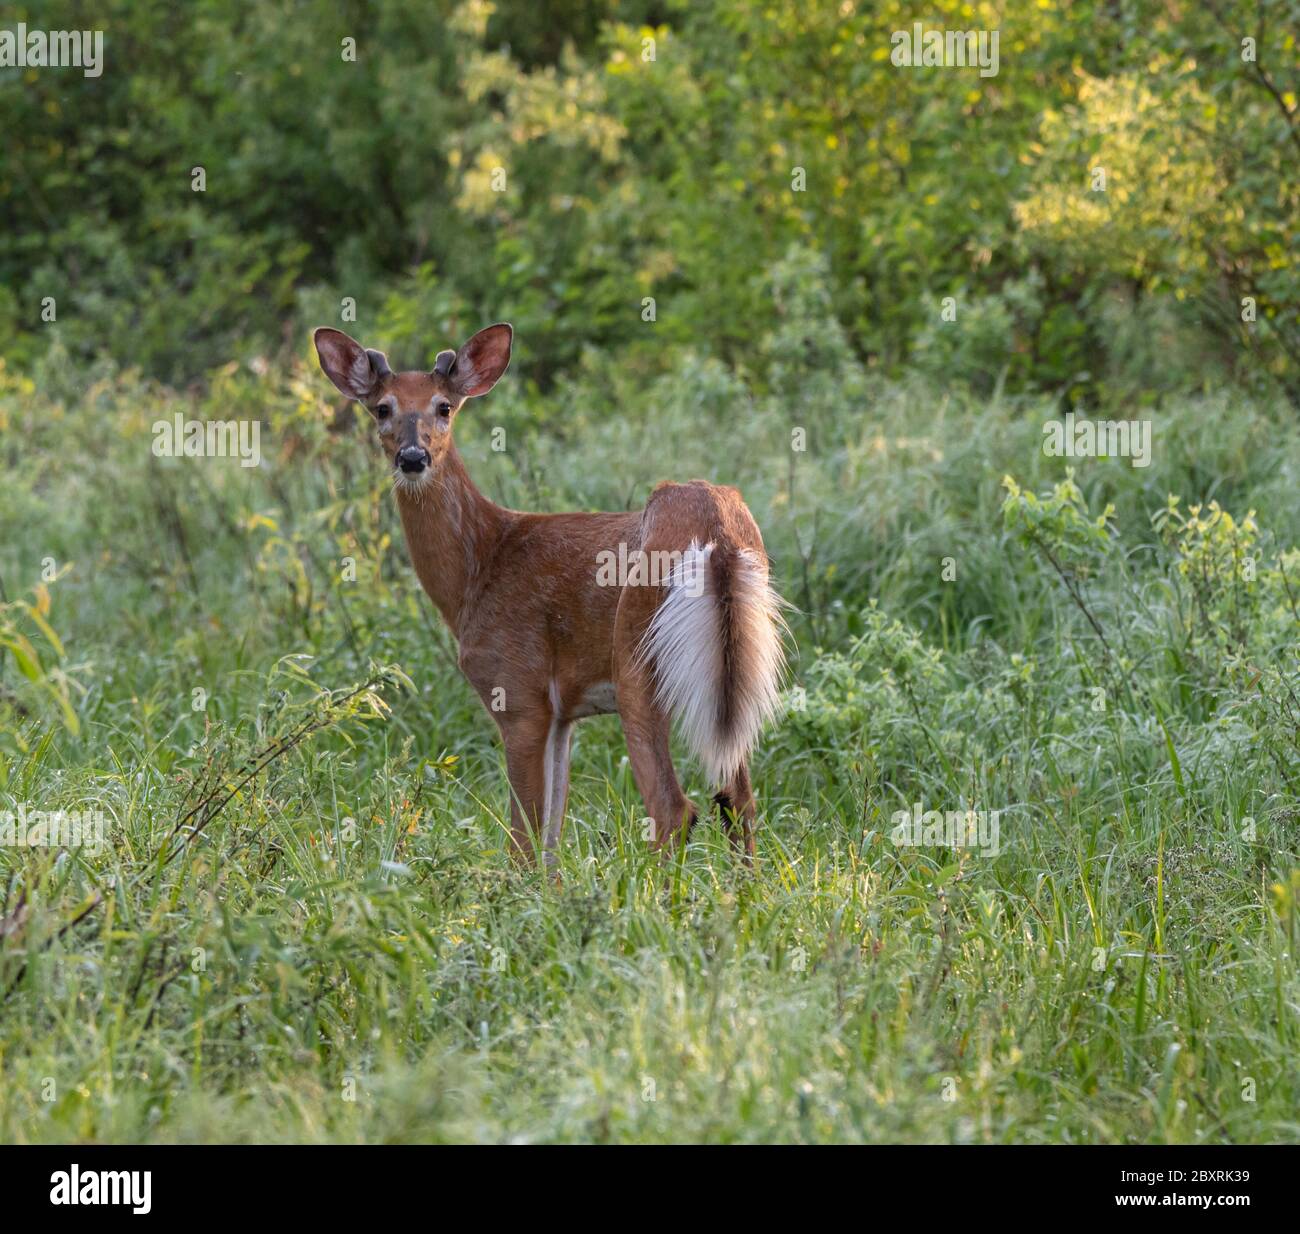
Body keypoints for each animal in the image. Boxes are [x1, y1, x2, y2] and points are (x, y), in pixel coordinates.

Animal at [313, 323, 786, 866]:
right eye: (382, 408)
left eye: (444, 406)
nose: (413, 458)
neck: (478, 572)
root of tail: (717, 528)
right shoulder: (563, 714)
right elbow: (552, 837)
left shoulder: (518, 692)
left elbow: (524, 837)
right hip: (739, 668)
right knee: (737, 798)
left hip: (639, 661)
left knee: (674, 808)